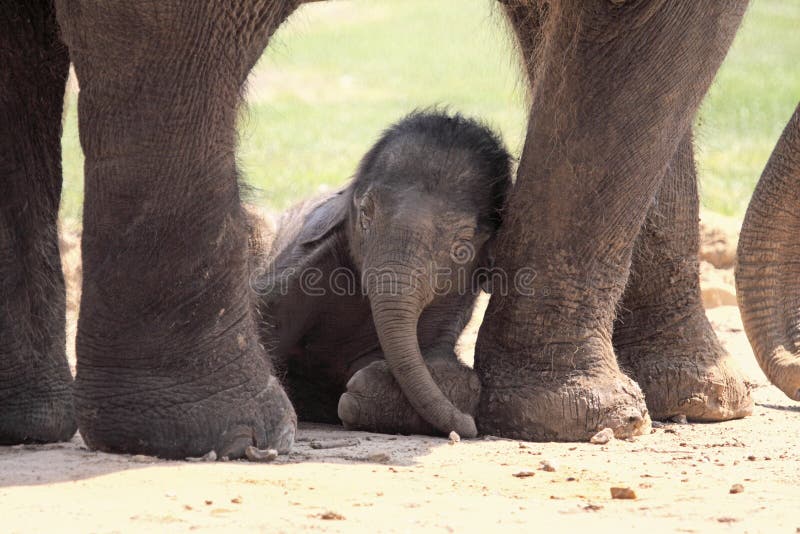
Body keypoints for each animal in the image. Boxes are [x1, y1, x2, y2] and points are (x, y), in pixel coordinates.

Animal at [252, 110, 510, 438]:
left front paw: (361, 390)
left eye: (461, 249)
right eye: (365, 214)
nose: (468, 428)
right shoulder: (308, 262)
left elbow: (463, 378)